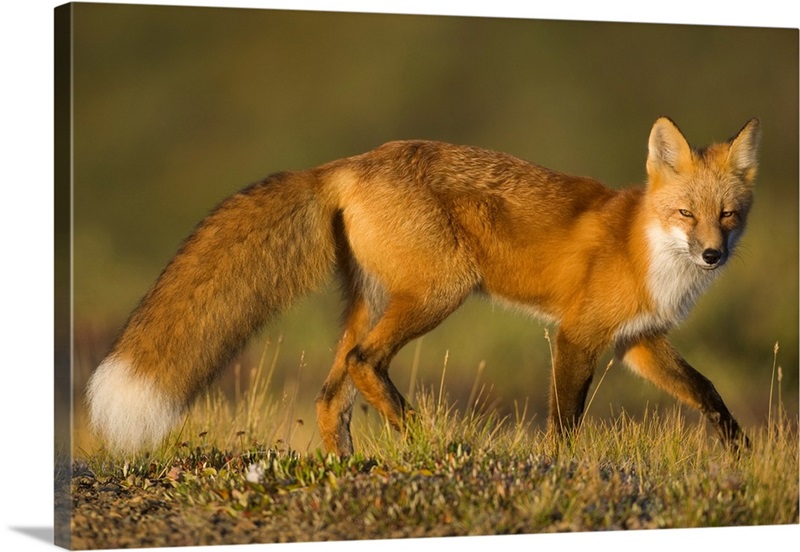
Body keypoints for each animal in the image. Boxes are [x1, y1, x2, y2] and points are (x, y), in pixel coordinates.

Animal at [87, 116, 760, 456]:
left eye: (728, 215)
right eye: (685, 213)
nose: (712, 255)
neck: (645, 246)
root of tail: (348, 162)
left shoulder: (637, 342)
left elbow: (706, 389)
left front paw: (741, 450)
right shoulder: (577, 335)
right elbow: (565, 421)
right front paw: (563, 471)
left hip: (372, 301)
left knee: (331, 393)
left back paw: (346, 469)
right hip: (440, 291)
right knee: (363, 363)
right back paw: (422, 440)